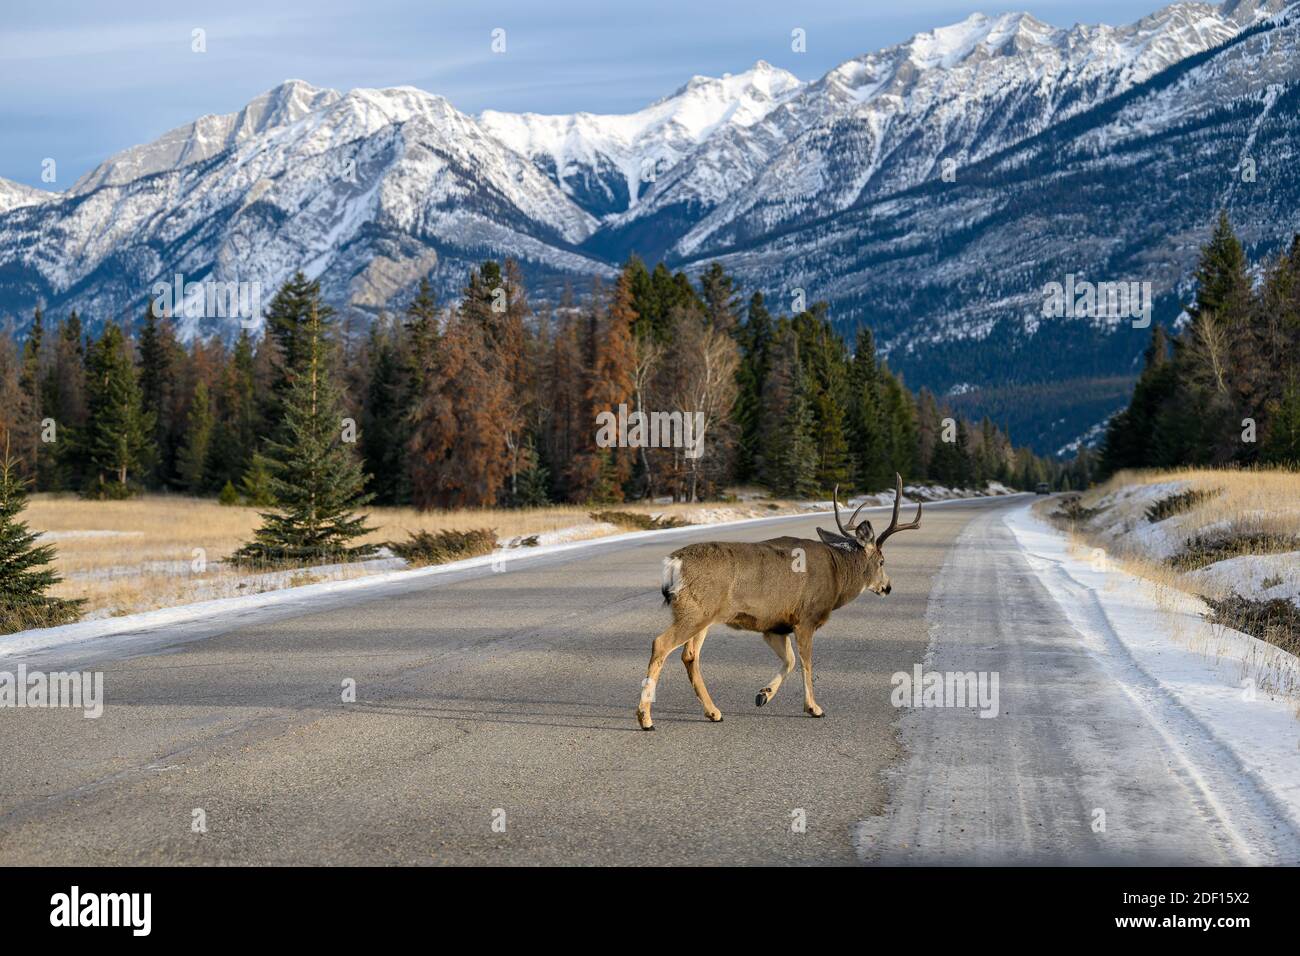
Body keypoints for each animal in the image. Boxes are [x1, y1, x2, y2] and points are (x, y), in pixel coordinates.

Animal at [636, 473, 922, 730]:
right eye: (882, 561)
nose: (887, 587)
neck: (837, 574)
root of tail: (673, 563)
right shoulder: (806, 618)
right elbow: (806, 663)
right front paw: (814, 708)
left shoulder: (774, 626)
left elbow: (790, 661)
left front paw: (762, 695)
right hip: (694, 611)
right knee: (661, 644)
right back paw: (646, 719)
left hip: (702, 614)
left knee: (690, 655)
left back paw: (713, 712)